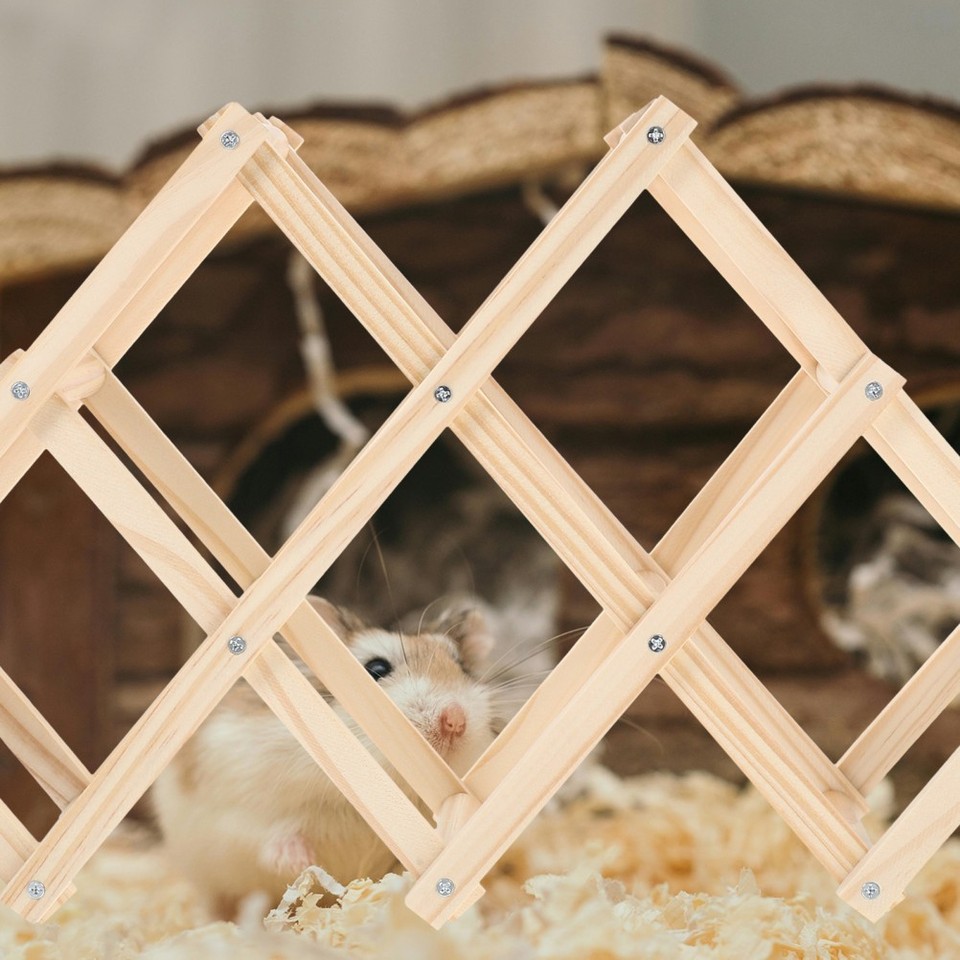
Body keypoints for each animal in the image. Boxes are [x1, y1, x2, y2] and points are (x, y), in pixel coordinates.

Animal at [152, 597, 497, 917]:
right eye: (376, 669)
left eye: (462, 667)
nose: (455, 721)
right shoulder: (233, 803)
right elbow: (264, 834)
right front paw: (302, 863)